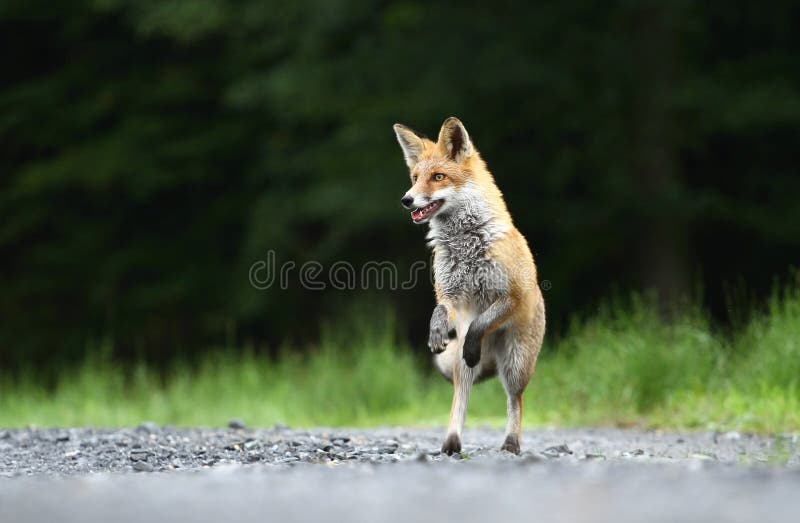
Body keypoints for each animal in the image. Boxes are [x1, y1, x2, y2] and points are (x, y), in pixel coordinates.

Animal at [394, 117, 545, 455]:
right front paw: (436, 333)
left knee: (516, 400)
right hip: (463, 370)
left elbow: (480, 323)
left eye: (437, 177)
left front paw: (474, 339)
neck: (467, 246)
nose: (406, 200)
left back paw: (511, 444)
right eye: (415, 178)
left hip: (516, 365)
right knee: (460, 398)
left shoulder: (510, 297)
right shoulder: (453, 297)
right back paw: (451, 442)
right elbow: (439, 312)